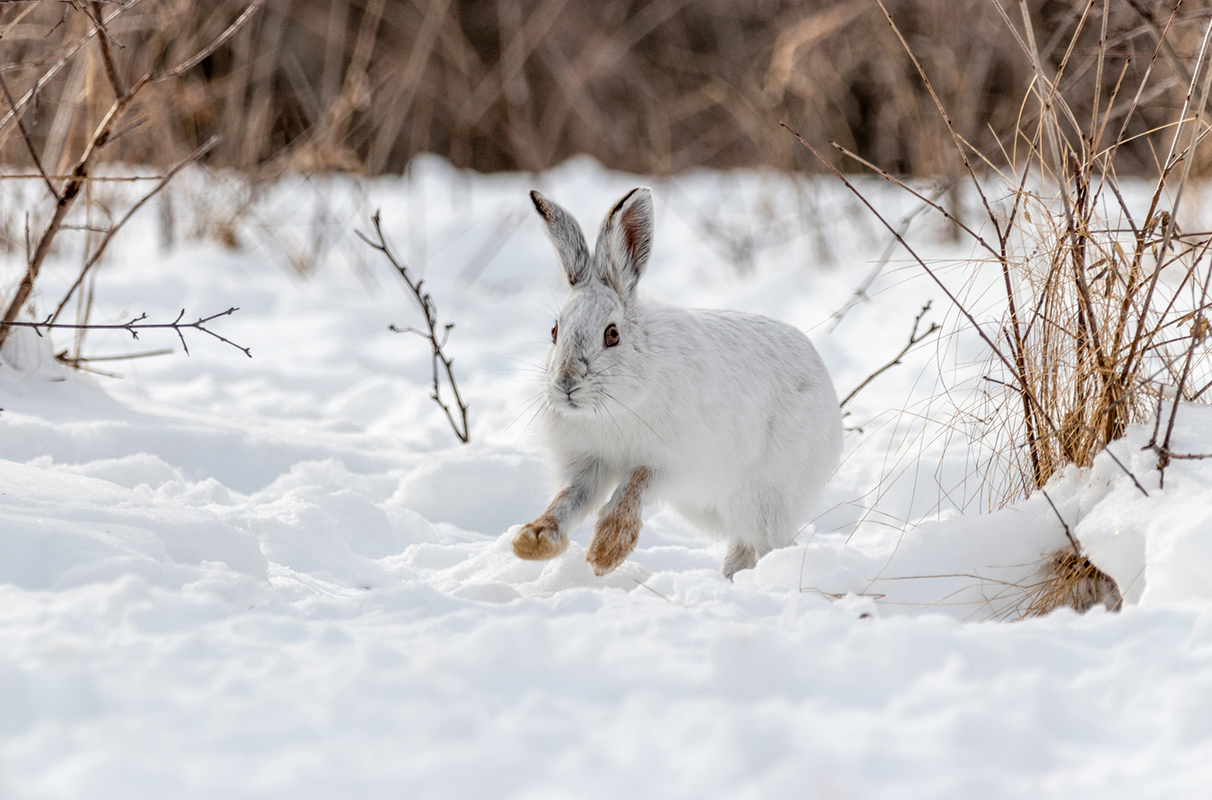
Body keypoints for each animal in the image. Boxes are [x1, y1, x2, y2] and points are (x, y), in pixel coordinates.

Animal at [512, 187, 843, 580]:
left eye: (612, 335)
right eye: (554, 331)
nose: (566, 384)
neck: (613, 406)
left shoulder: (670, 461)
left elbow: (633, 486)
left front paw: (606, 551)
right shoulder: (589, 464)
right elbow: (569, 498)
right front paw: (532, 541)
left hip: (764, 497)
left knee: (764, 544)